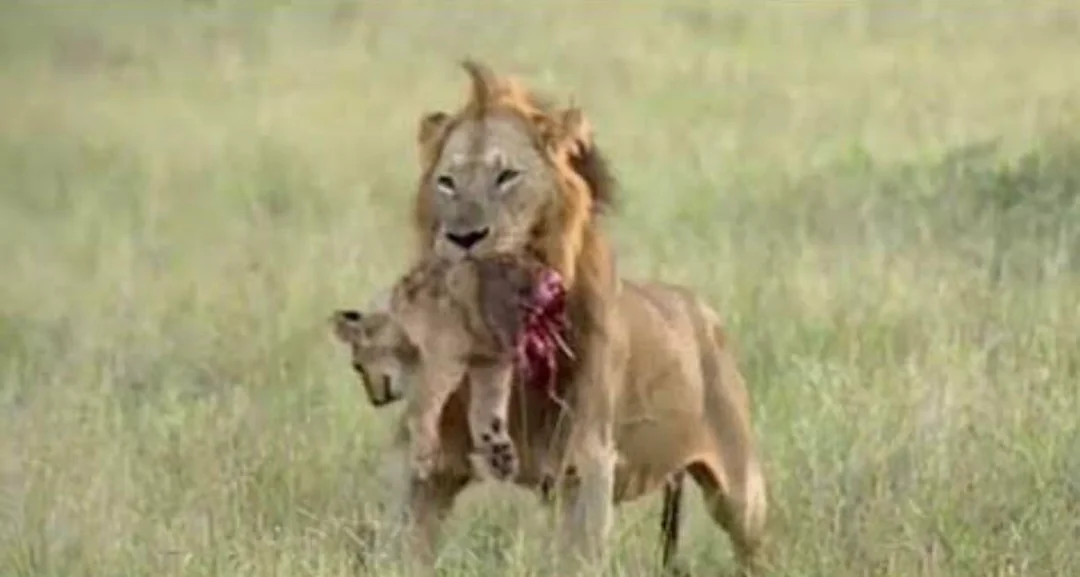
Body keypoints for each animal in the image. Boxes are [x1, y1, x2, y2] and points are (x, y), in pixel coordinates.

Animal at [344, 60, 767, 576]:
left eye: (507, 176)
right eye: (447, 181)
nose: (464, 237)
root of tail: (701, 310)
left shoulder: (584, 462)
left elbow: (579, 556)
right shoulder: (426, 461)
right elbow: (401, 545)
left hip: (742, 492)